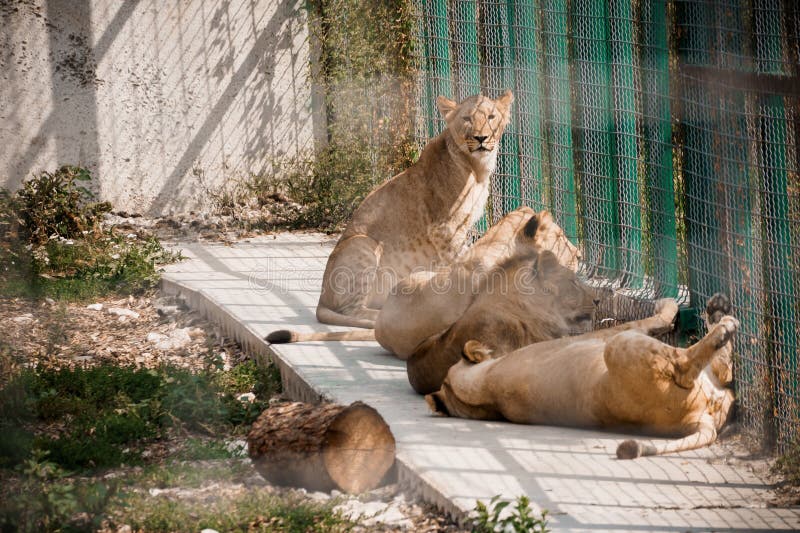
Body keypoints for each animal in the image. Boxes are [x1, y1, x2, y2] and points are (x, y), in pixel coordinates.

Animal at [316, 91, 514, 328]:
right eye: (467, 118)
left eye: (492, 117)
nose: (481, 138)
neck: (477, 168)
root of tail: (320, 299)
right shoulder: (445, 229)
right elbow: (463, 263)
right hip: (362, 243)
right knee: (351, 311)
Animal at [426, 294, 737, 458]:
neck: (482, 393)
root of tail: (700, 418)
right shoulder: (592, 337)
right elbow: (641, 322)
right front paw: (668, 307)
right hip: (619, 346)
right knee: (688, 365)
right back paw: (723, 325)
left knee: (724, 373)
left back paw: (718, 310)